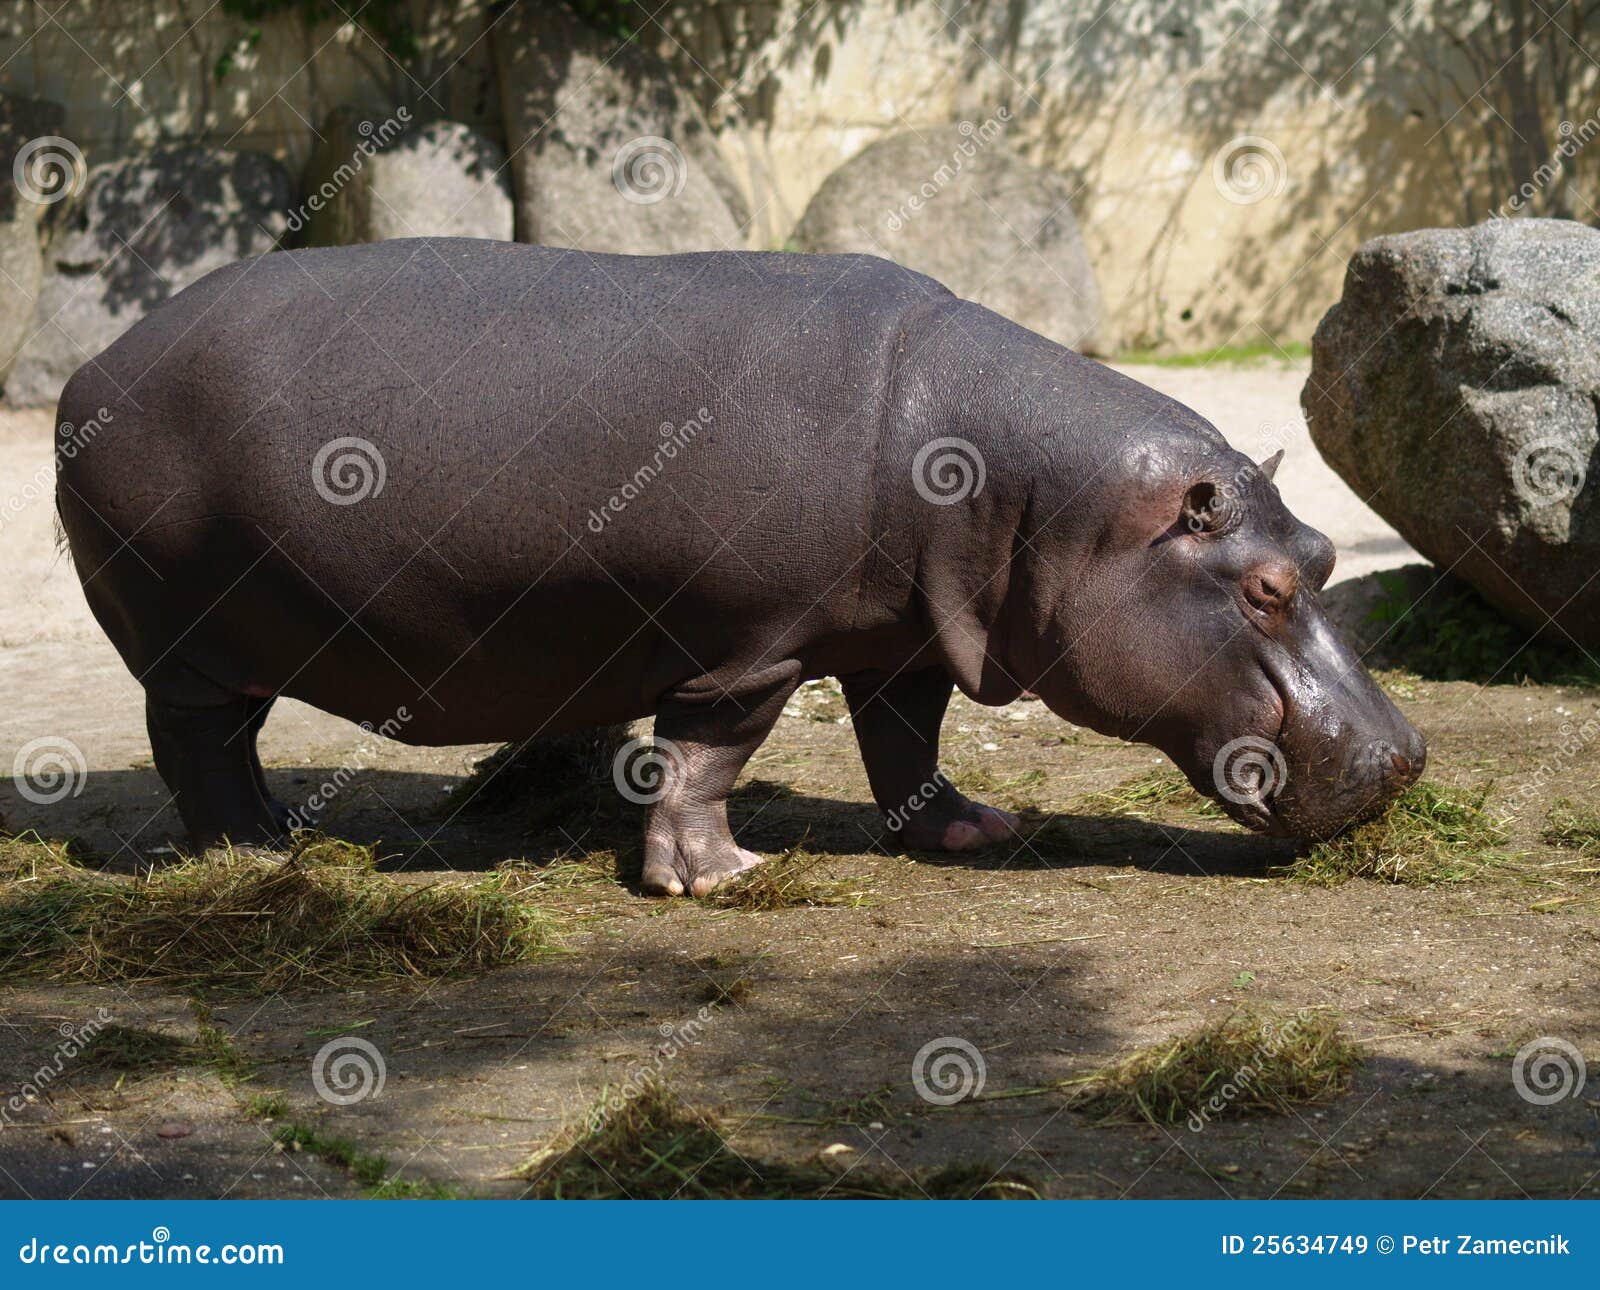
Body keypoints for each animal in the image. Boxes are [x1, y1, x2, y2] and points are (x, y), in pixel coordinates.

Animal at [55, 239, 1424, 896]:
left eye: (1319, 551)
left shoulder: (904, 639)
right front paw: (716, 879)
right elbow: (706, 760)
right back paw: (256, 852)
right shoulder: (748, 646)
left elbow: (908, 745)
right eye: (1264, 589)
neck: (1045, 501)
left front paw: (975, 832)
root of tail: (91, 367)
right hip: (187, 649)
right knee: (199, 748)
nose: (1407, 758)